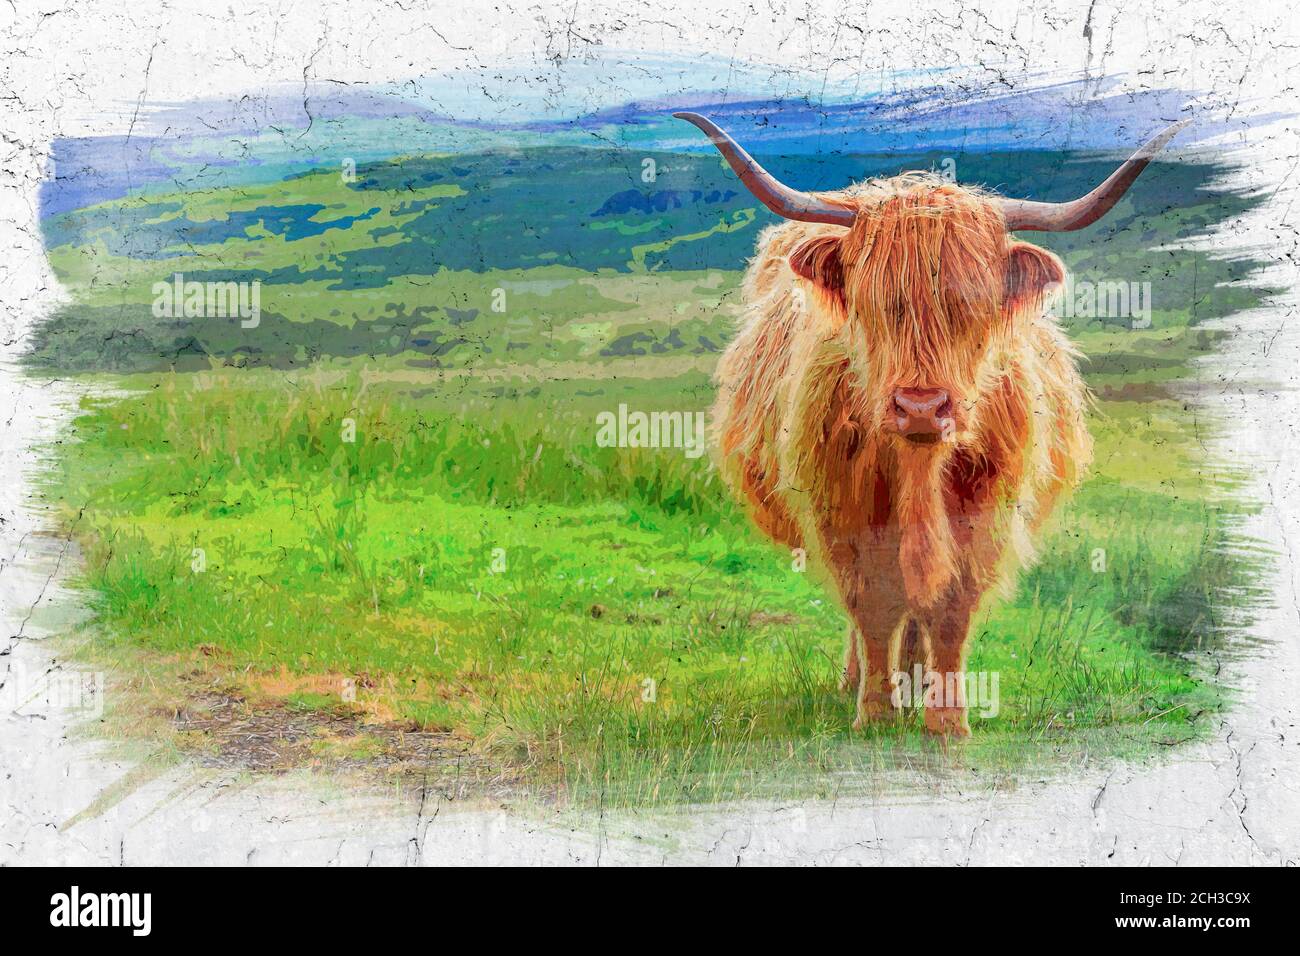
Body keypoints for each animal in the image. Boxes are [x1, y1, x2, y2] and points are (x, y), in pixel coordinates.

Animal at [675, 111, 1187, 736]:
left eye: (973, 305)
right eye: (874, 302)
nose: (921, 407)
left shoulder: (987, 507)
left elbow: (950, 609)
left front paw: (947, 722)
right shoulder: (841, 507)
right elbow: (872, 606)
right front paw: (873, 712)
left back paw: (915, 680)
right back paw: (861, 682)